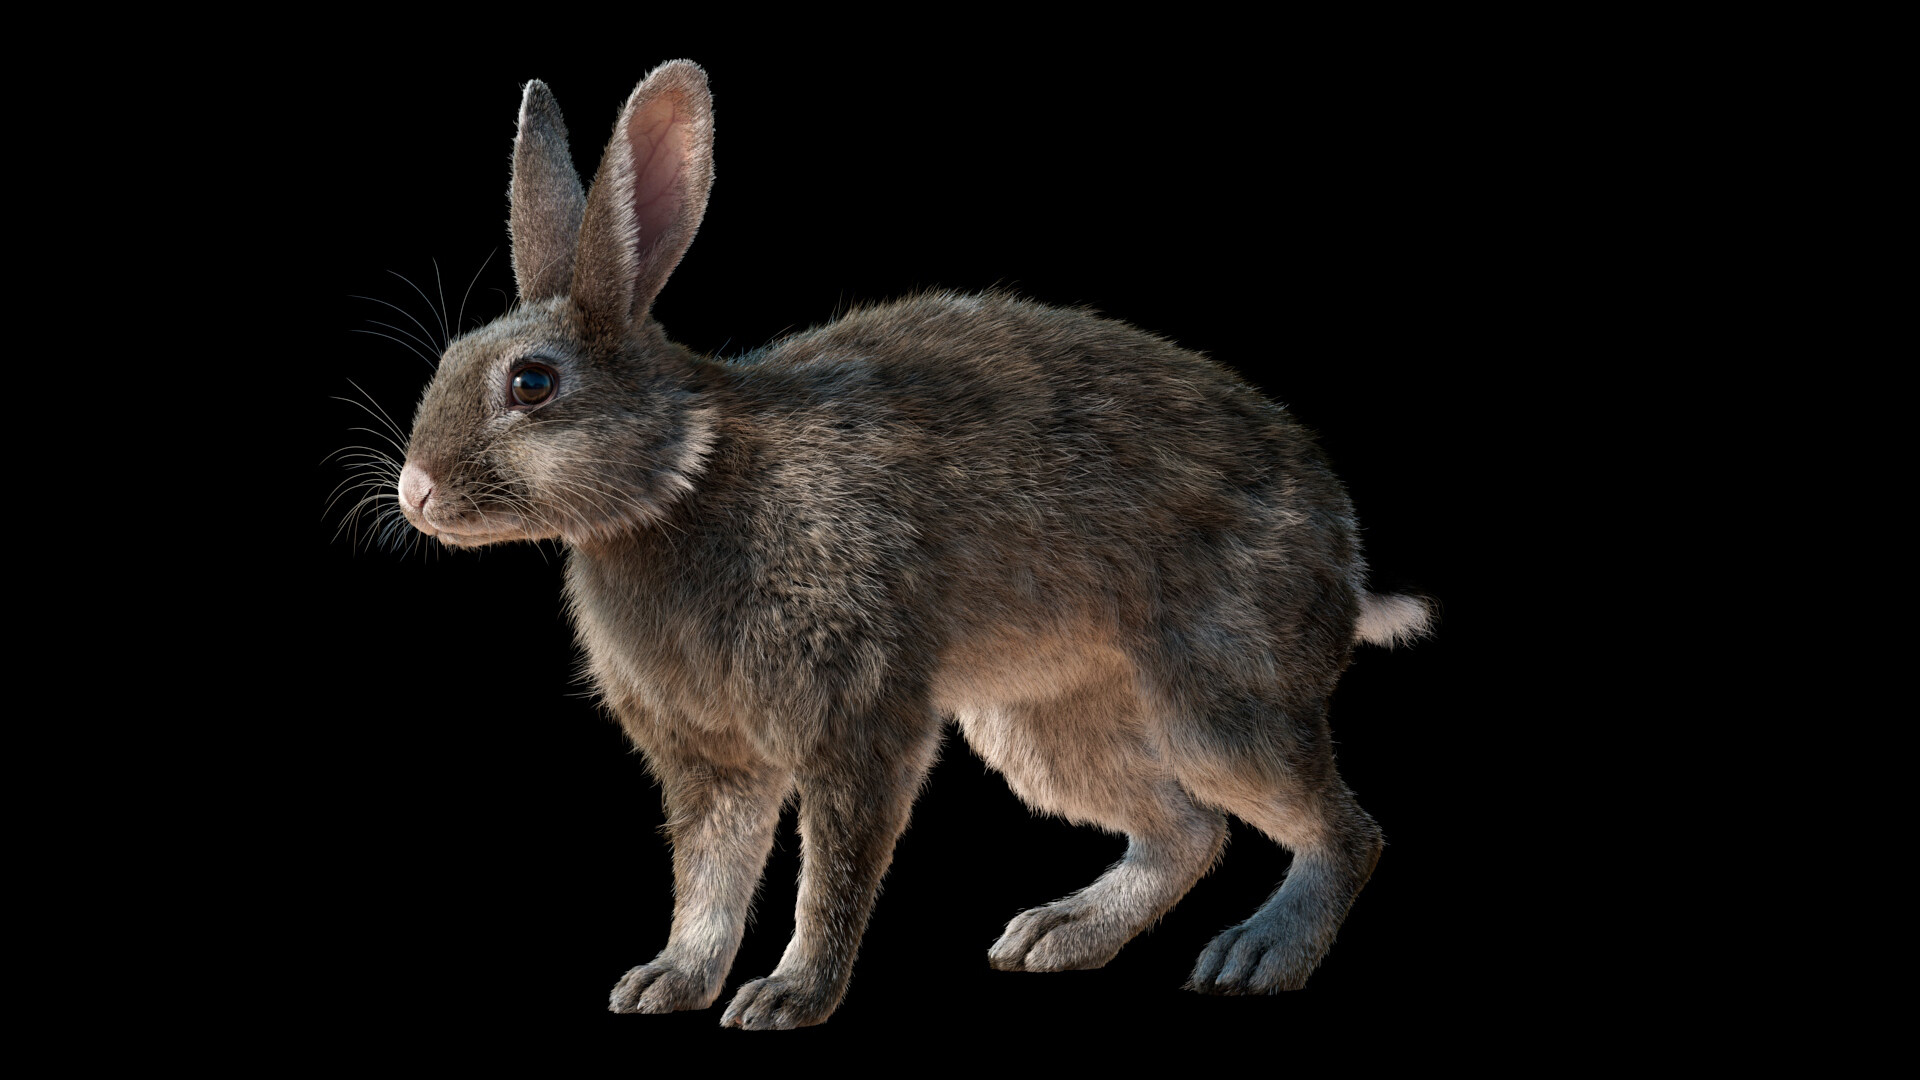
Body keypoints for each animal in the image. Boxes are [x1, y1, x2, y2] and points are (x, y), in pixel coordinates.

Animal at [393, 59, 1434, 1030]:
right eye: (448, 364)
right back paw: (1059, 935)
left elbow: (833, 874)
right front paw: (666, 984)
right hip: (1041, 726)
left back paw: (1260, 956)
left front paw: (787, 998)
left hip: (1218, 698)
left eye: (531, 384)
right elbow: (711, 880)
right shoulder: (714, 760)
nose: (414, 492)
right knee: (1188, 830)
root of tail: (1344, 561)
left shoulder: (854, 715)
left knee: (1339, 829)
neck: (680, 479)